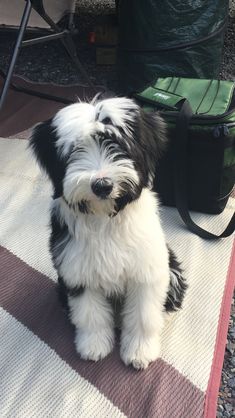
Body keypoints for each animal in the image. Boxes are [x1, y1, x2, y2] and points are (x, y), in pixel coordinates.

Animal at [29, 97, 187, 370]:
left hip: (172, 269)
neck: (104, 218)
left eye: (118, 145)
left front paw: (139, 350)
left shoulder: (146, 271)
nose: (102, 185)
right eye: (74, 150)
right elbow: (90, 314)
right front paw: (94, 345)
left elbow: (143, 316)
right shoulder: (76, 270)